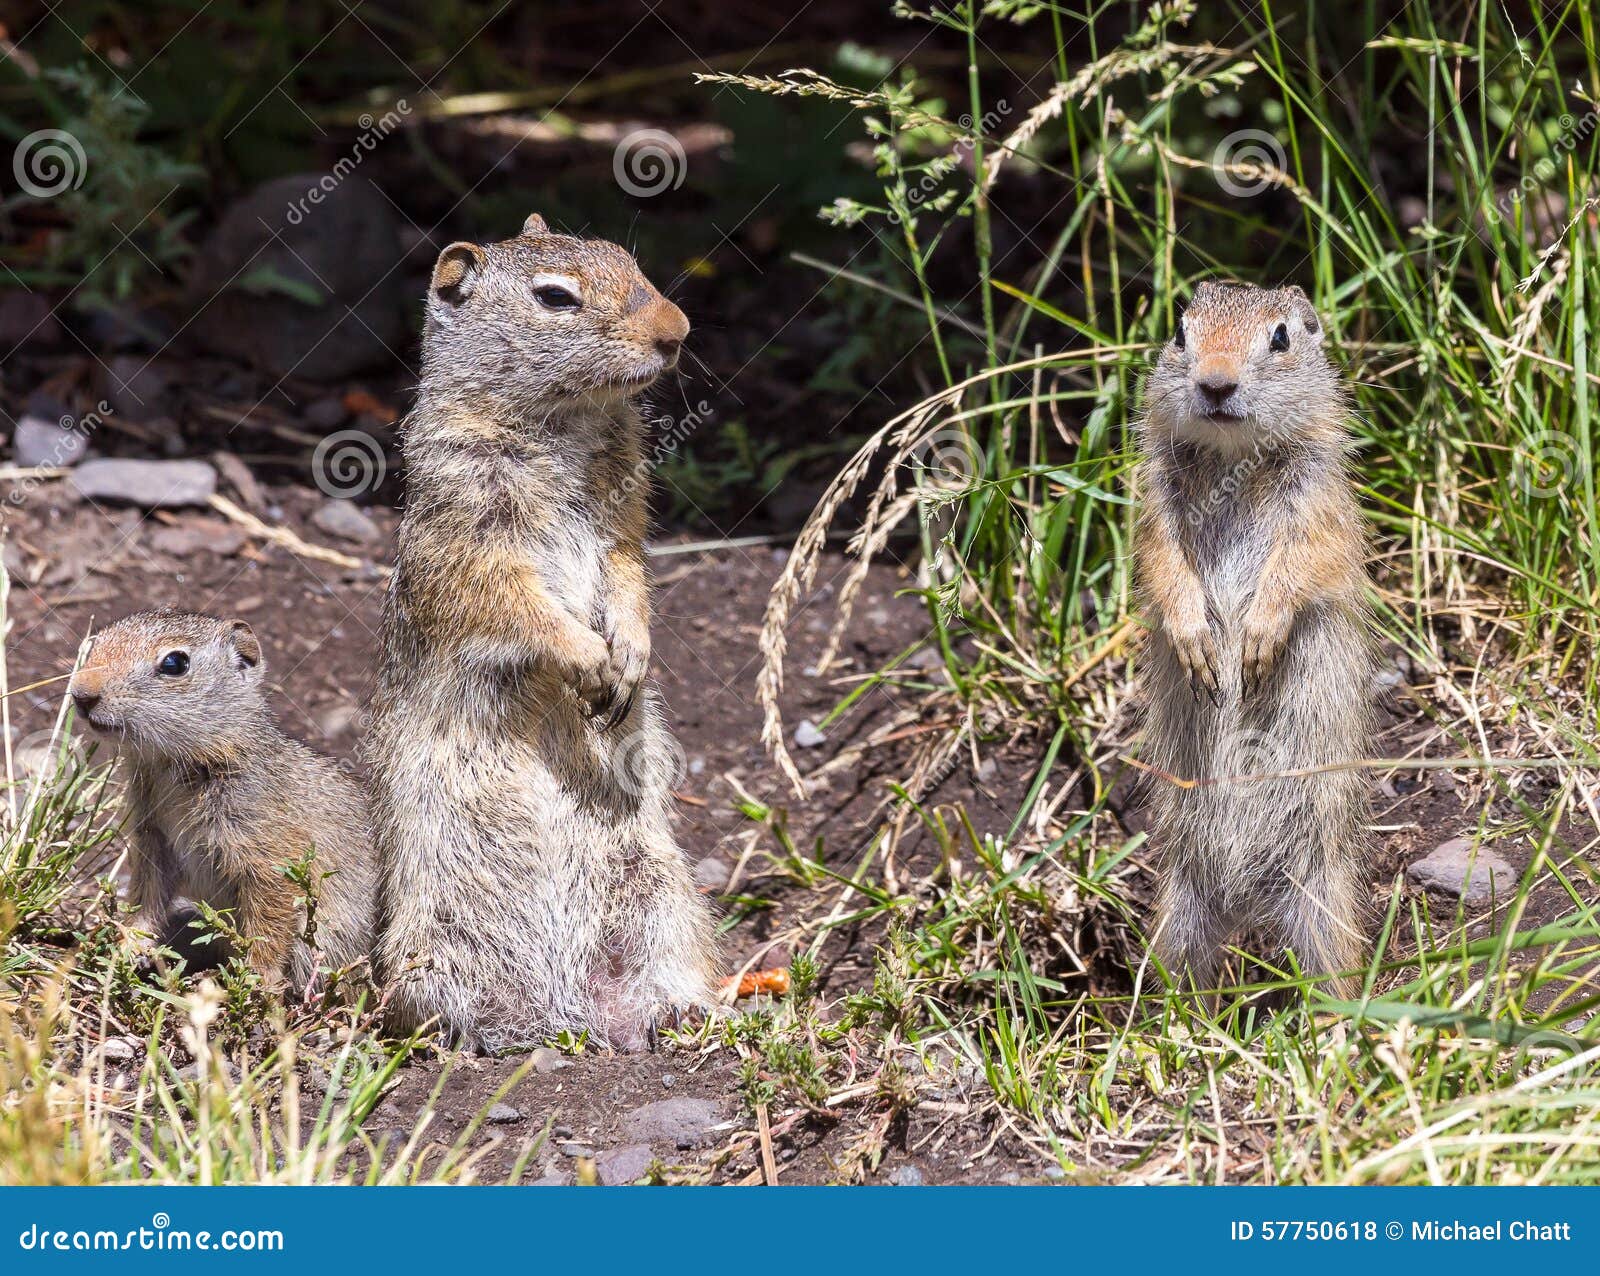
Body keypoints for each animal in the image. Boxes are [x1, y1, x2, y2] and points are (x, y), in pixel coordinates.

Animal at [68, 610, 376, 990]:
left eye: (174, 663)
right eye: (99, 641)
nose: (81, 694)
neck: (176, 763)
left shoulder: (267, 857)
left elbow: (268, 923)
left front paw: (257, 979)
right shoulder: (154, 842)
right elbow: (147, 898)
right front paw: (127, 946)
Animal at [368, 212, 716, 1053]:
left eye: (626, 258)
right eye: (555, 297)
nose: (678, 331)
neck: (565, 420)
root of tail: (562, 1014)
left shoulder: (624, 525)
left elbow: (627, 581)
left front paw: (631, 652)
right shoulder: (472, 539)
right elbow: (519, 607)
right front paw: (587, 656)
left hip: (660, 894)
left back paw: (678, 1015)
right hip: (436, 934)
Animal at [1134, 281, 1376, 992]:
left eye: (1281, 337)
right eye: (1180, 332)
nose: (1215, 383)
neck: (1231, 456)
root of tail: (1244, 902)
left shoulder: (1319, 497)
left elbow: (1303, 561)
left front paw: (1258, 639)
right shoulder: (1154, 500)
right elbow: (1162, 561)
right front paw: (1194, 639)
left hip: (1321, 900)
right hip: (1179, 911)